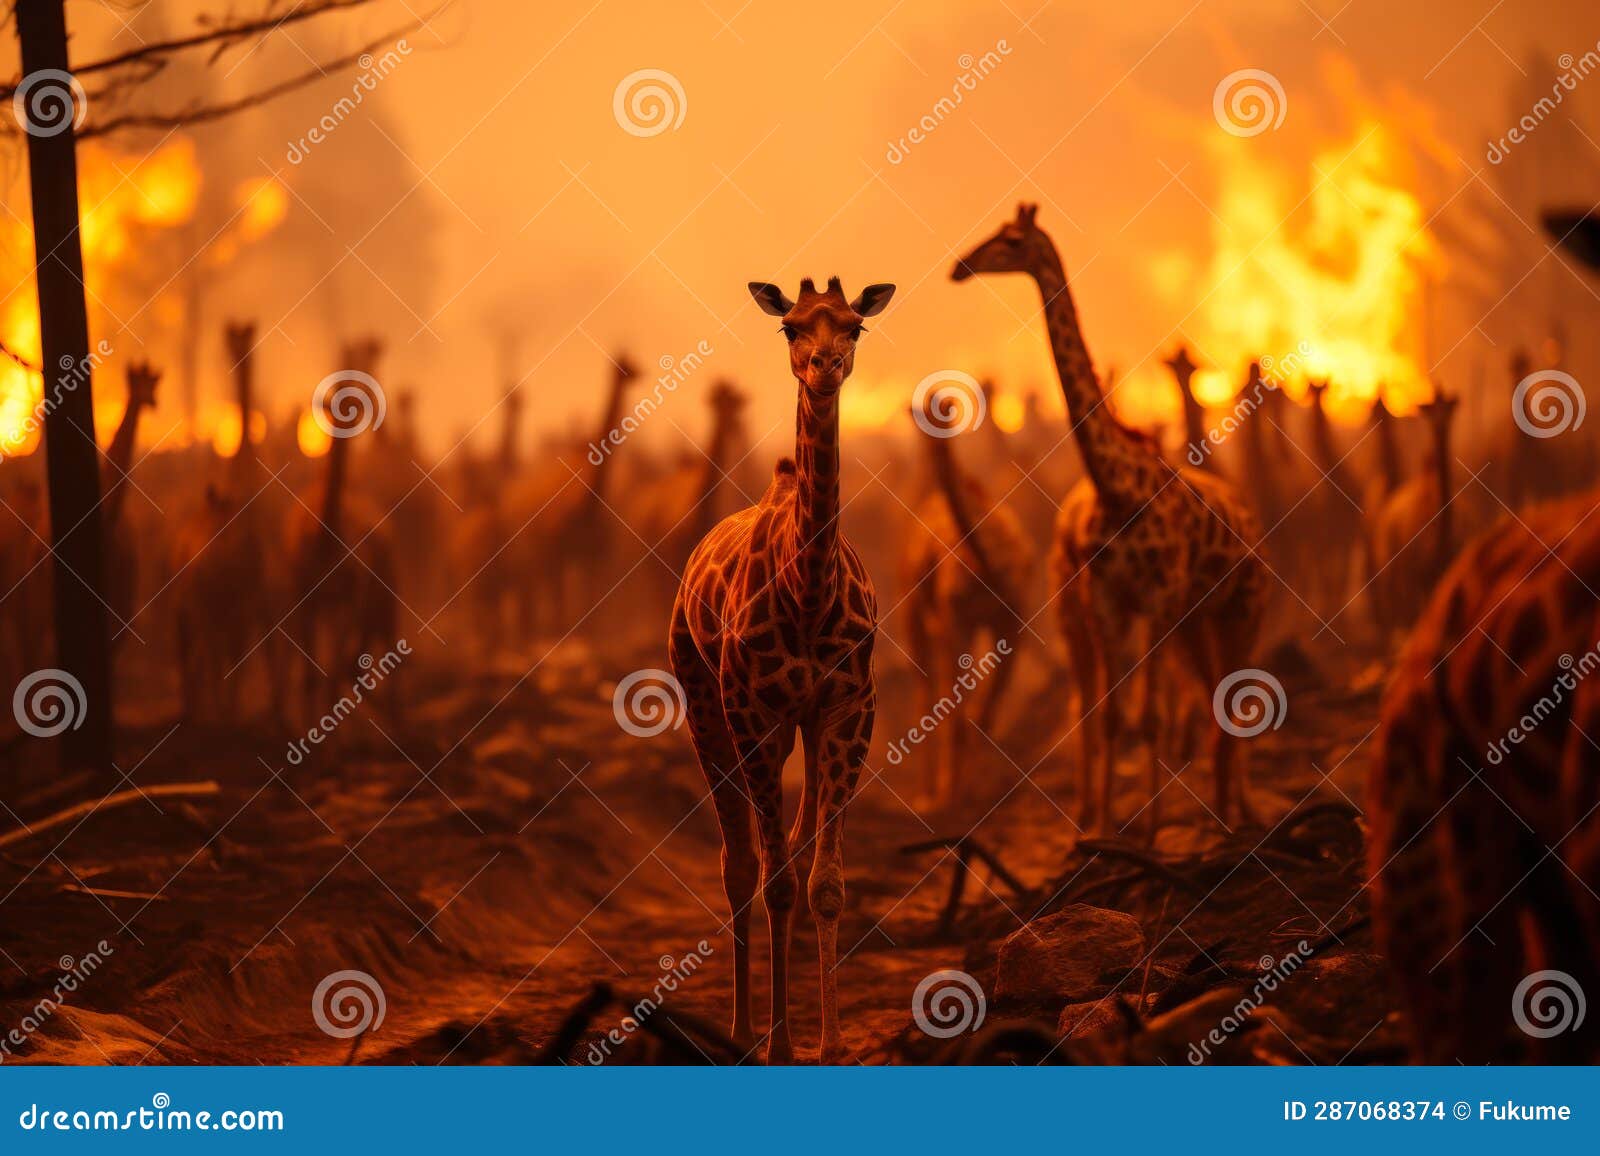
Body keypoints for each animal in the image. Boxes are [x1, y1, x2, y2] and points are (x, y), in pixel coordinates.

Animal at [670, 275, 893, 1064]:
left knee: (787, 852)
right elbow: (774, 881)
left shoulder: (849, 708)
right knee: (742, 864)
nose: (824, 366)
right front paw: (780, 1047)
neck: (808, 591)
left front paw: (829, 1044)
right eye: (789, 328)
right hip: (703, 701)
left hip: (797, 723)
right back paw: (741, 1031)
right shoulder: (751, 711)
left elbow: (823, 882)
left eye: (855, 326)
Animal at [899, 393, 1032, 809]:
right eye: (920, 412)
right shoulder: (953, 621)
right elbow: (956, 709)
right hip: (916, 613)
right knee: (925, 689)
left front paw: (976, 792)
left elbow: (983, 712)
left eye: (944, 409)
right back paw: (926, 791)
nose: (937, 438)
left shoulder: (1012, 625)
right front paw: (948, 796)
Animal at [953, 203, 1267, 833]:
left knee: (1235, 705)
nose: (960, 266)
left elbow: (1146, 717)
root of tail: (1251, 521)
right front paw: (1106, 832)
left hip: (1245, 607)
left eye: (1013, 241)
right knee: (1209, 701)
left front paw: (1145, 832)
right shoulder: (1110, 602)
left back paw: (1239, 814)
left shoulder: (1158, 601)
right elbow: (1120, 716)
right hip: (1199, 620)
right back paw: (1226, 813)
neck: (1117, 488)